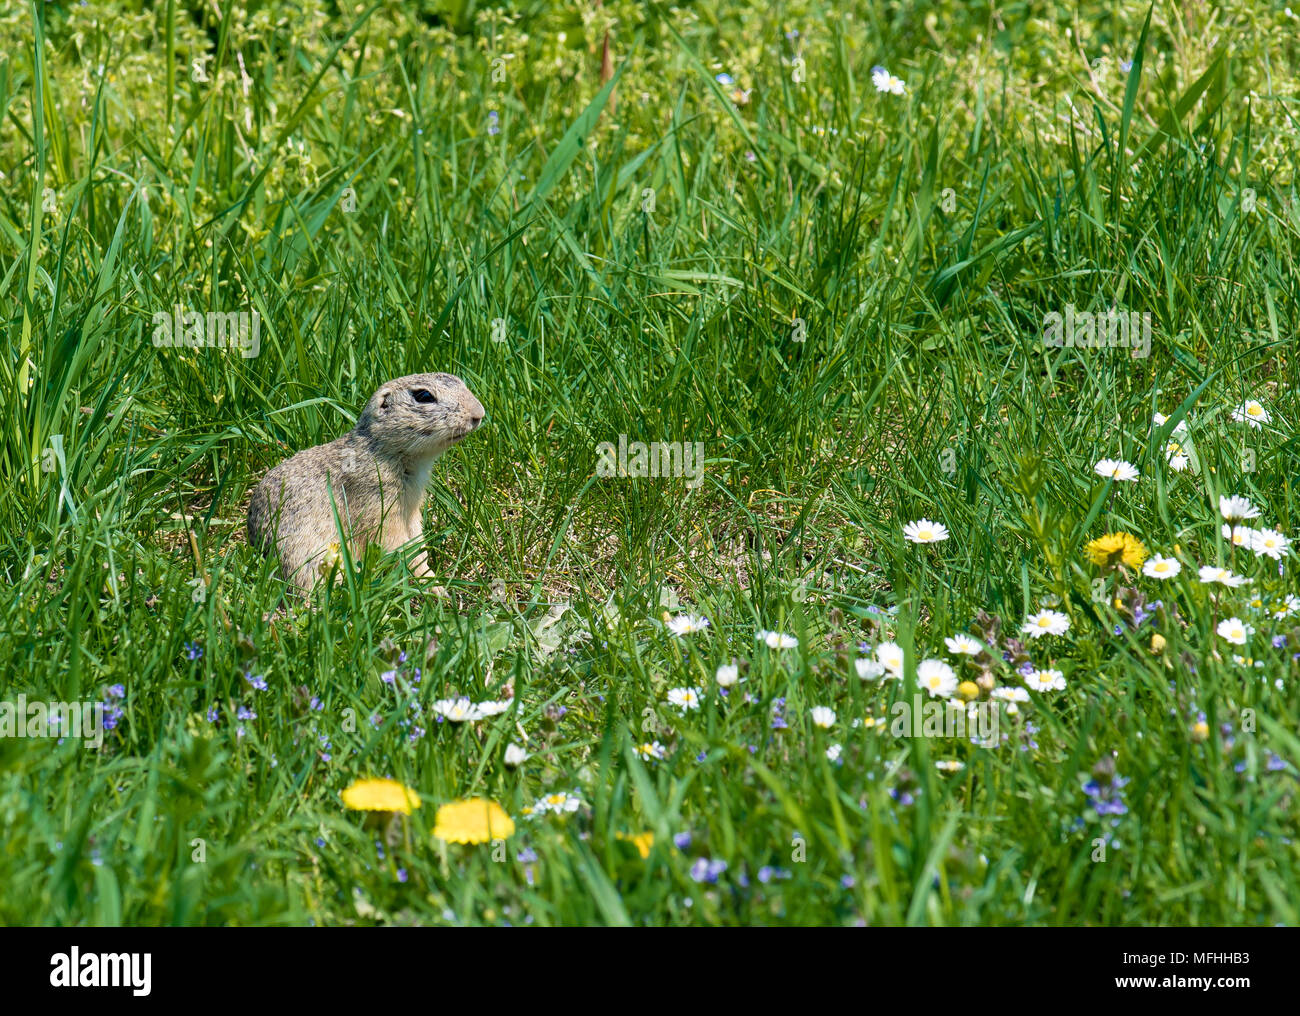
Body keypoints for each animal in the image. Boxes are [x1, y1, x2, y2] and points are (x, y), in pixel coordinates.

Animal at [247, 373, 484, 592]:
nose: (479, 413)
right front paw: (432, 584)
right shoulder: (375, 497)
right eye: (424, 396)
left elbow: (416, 540)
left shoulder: (412, 507)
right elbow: (394, 542)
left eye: (460, 381)